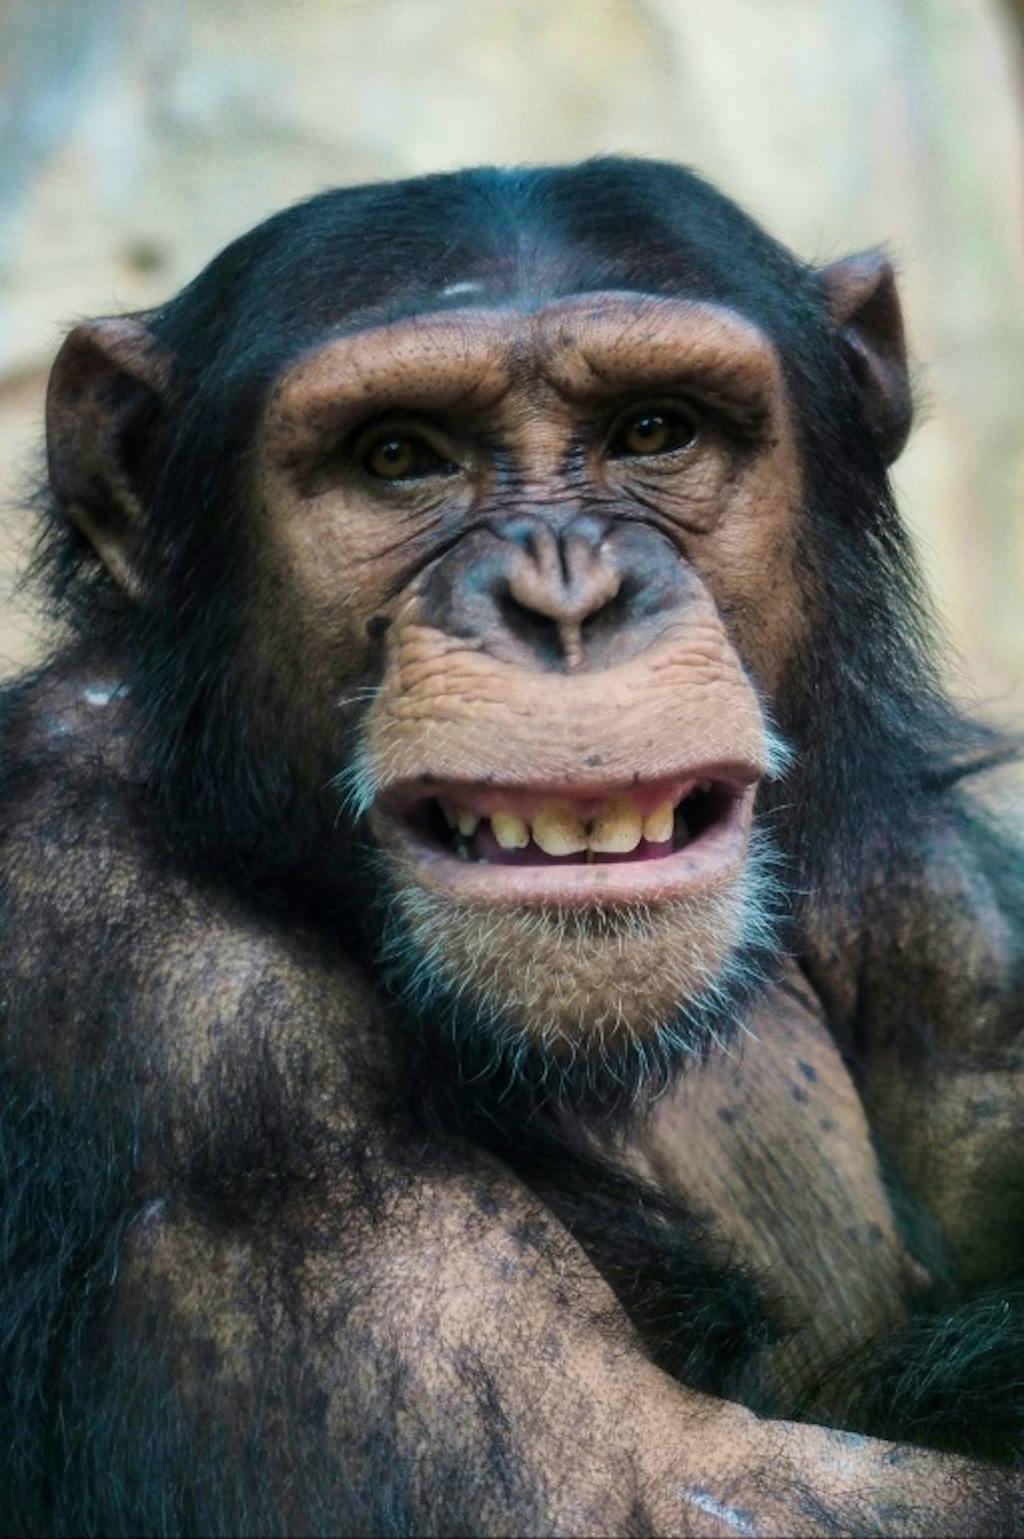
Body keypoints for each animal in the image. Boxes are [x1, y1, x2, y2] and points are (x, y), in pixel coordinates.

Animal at [1, 157, 1022, 1535]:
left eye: (655, 429)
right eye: (397, 455)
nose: (565, 596)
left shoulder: (934, 897)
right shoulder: (174, 1021)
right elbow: (657, 1480)